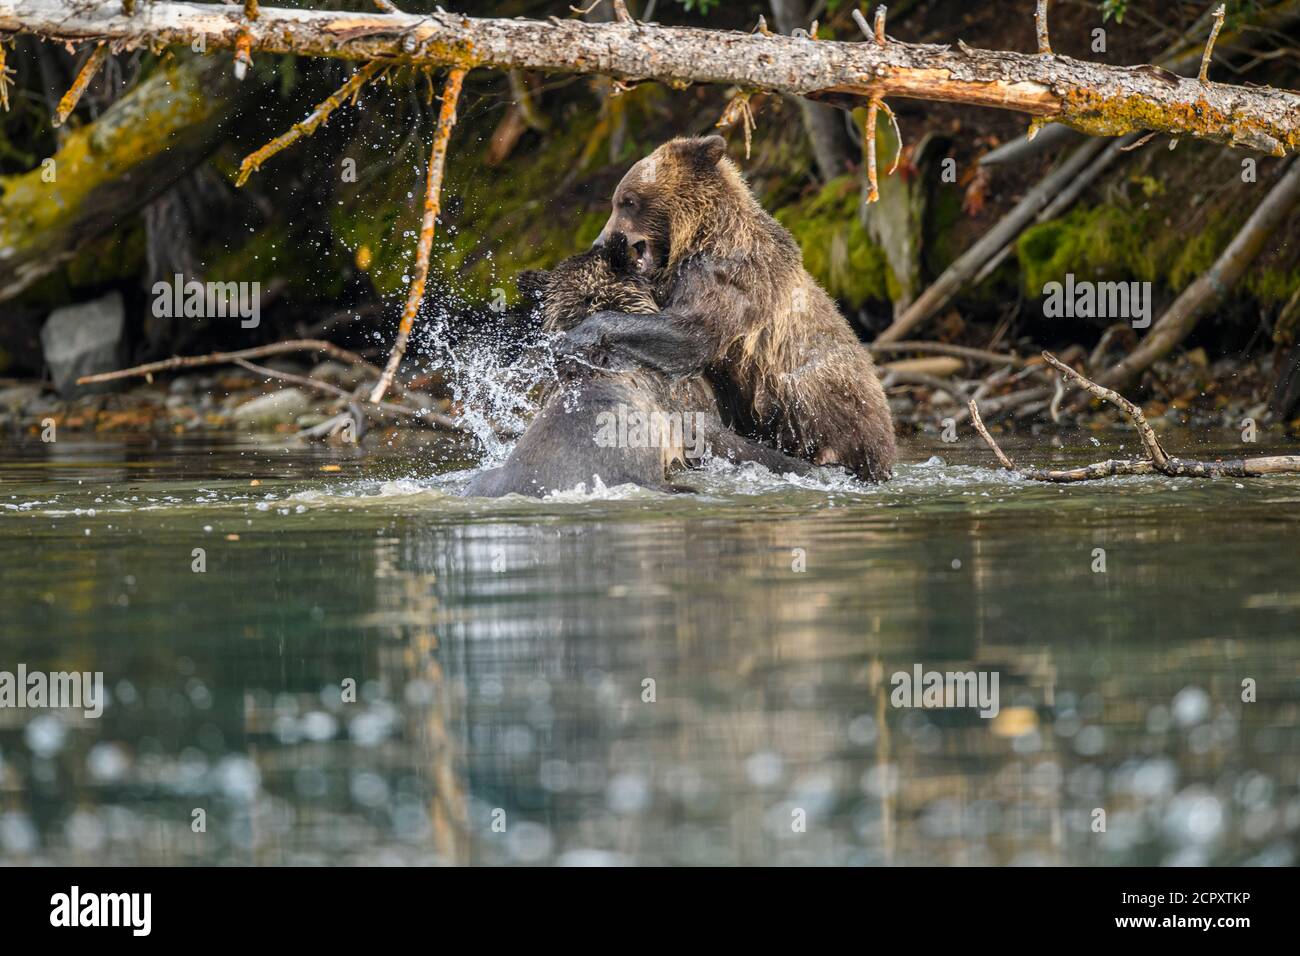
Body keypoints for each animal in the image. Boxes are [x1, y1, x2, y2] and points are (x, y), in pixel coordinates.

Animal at [555, 135, 897, 482]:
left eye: (628, 201)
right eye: (618, 200)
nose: (601, 241)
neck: (700, 236)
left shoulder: (731, 280)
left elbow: (692, 334)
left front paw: (578, 334)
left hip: (829, 422)